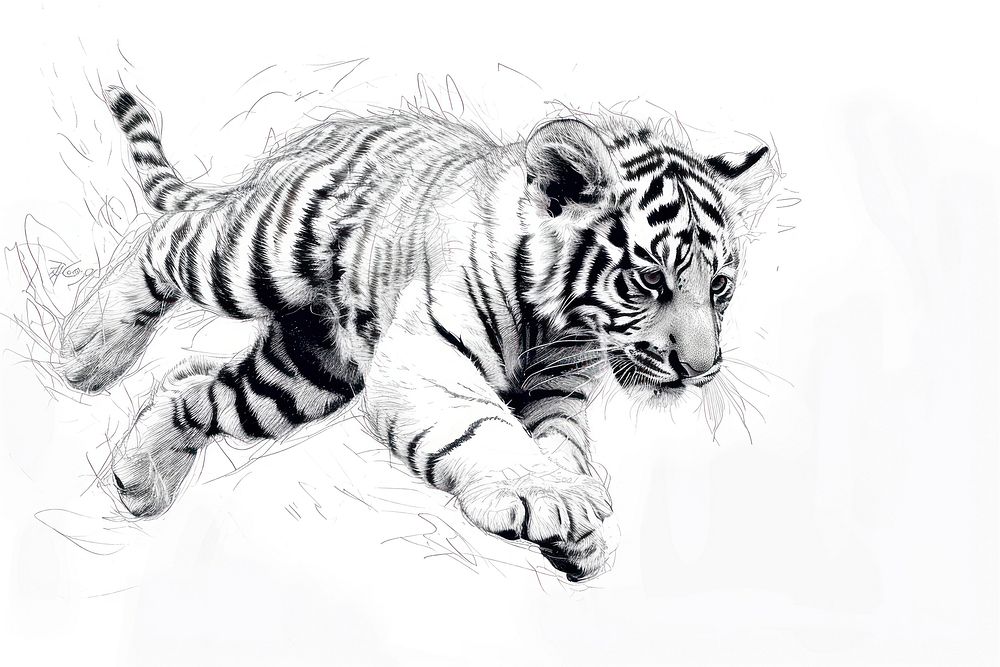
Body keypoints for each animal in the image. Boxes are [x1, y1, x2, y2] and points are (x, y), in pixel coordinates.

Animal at [60, 85, 770, 581]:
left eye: (720, 287)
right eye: (649, 279)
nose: (702, 370)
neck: (557, 320)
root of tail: (307, 138)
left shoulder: (558, 398)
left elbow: (565, 448)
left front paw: (584, 535)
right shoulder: (425, 362)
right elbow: (480, 428)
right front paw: (549, 500)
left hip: (304, 375)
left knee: (196, 388)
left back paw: (140, 482)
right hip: (252, 257)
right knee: (164, 242)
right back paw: (84, 354)